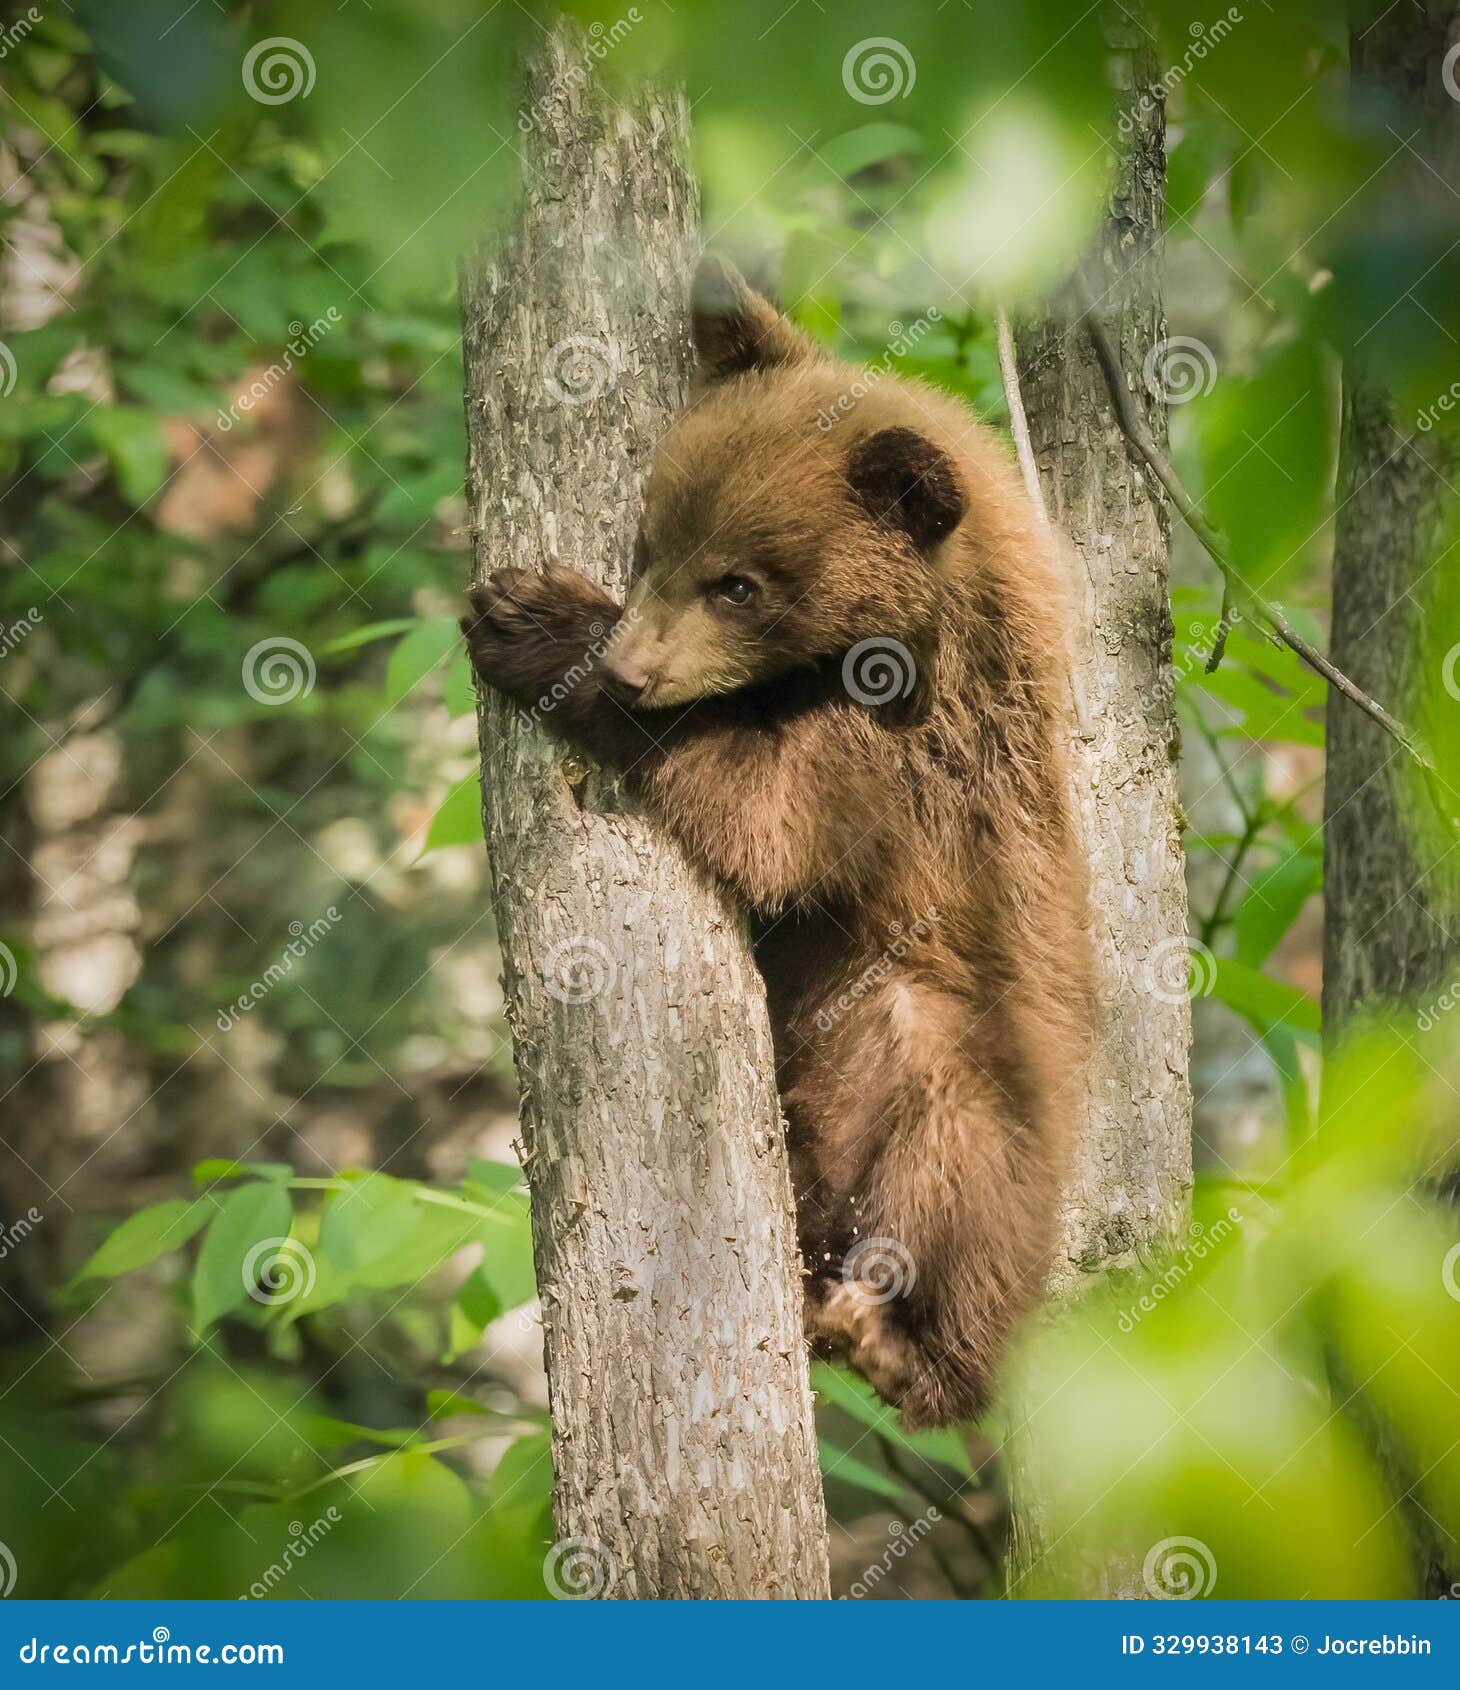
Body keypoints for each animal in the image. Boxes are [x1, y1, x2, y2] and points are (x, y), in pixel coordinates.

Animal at [464, 257, 1092, 1427]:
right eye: (653, 543)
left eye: (740, 584)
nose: (634, 671)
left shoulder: (907, 768)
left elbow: (770, 817)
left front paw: (535, 623)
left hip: (966, 1076)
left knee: (955, 1174)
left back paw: (900, 1347)